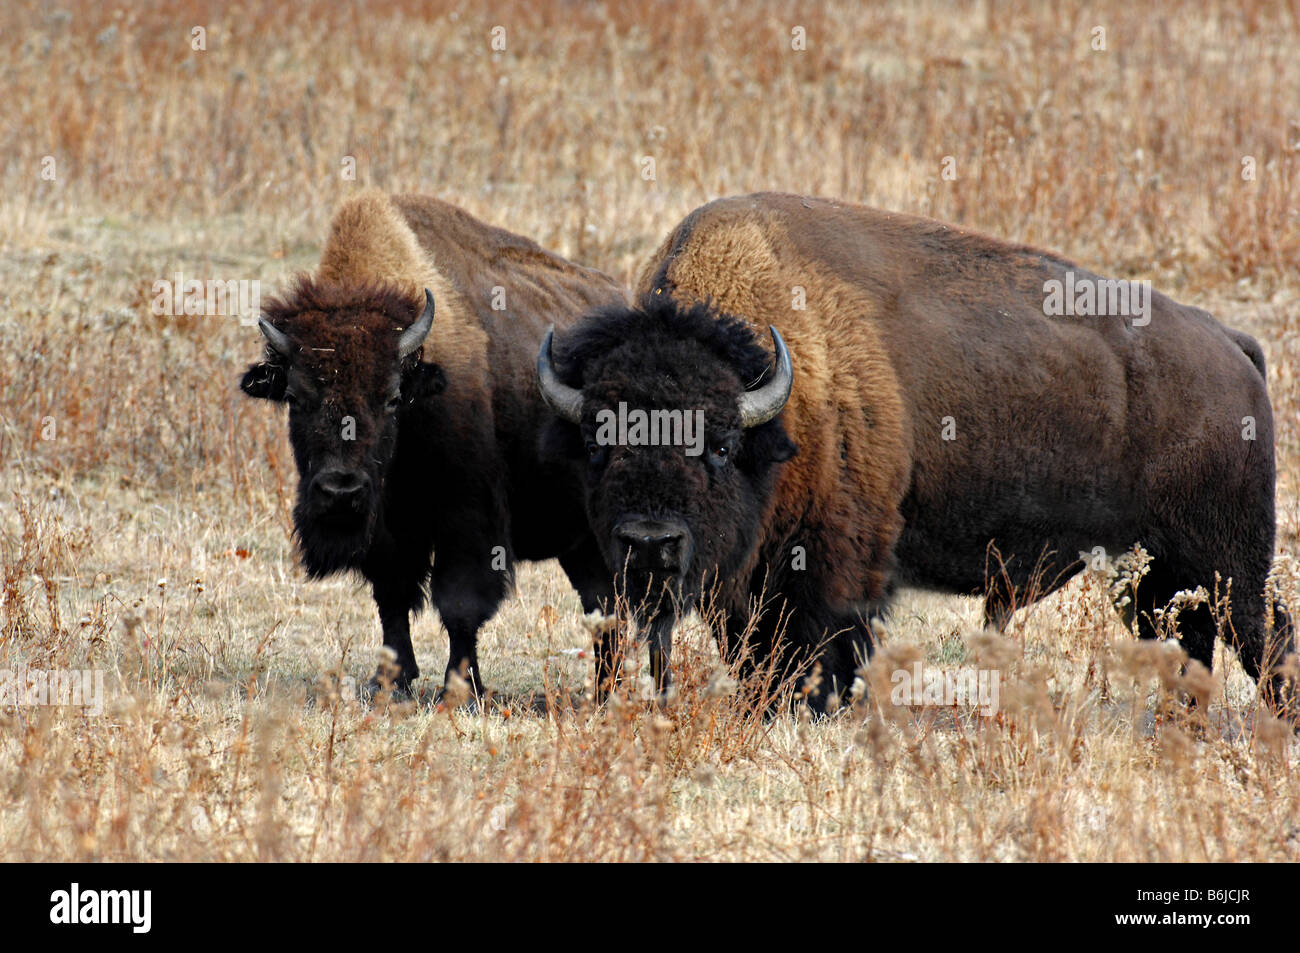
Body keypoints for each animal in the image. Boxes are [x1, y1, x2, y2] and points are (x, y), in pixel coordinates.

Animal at [242, 190, 625, 697]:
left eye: (390, 398)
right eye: (296, 398)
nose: (340, 491)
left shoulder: (466, 520)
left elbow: (459, 604)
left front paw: (461, 690)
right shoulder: (387, 532)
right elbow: (392, 597)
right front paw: (389, 681)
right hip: (577, 541)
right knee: (602, 603)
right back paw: (603, 690)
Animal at [537, 191, 1295, 716]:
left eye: (719, 445)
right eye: (599, 443)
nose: (650, 541)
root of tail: (1231, 345)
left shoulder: (834, 566)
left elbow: (816, 649)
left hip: (1228, 562)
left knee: (1263, 636)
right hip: (1153, 575)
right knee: (1191, 644)